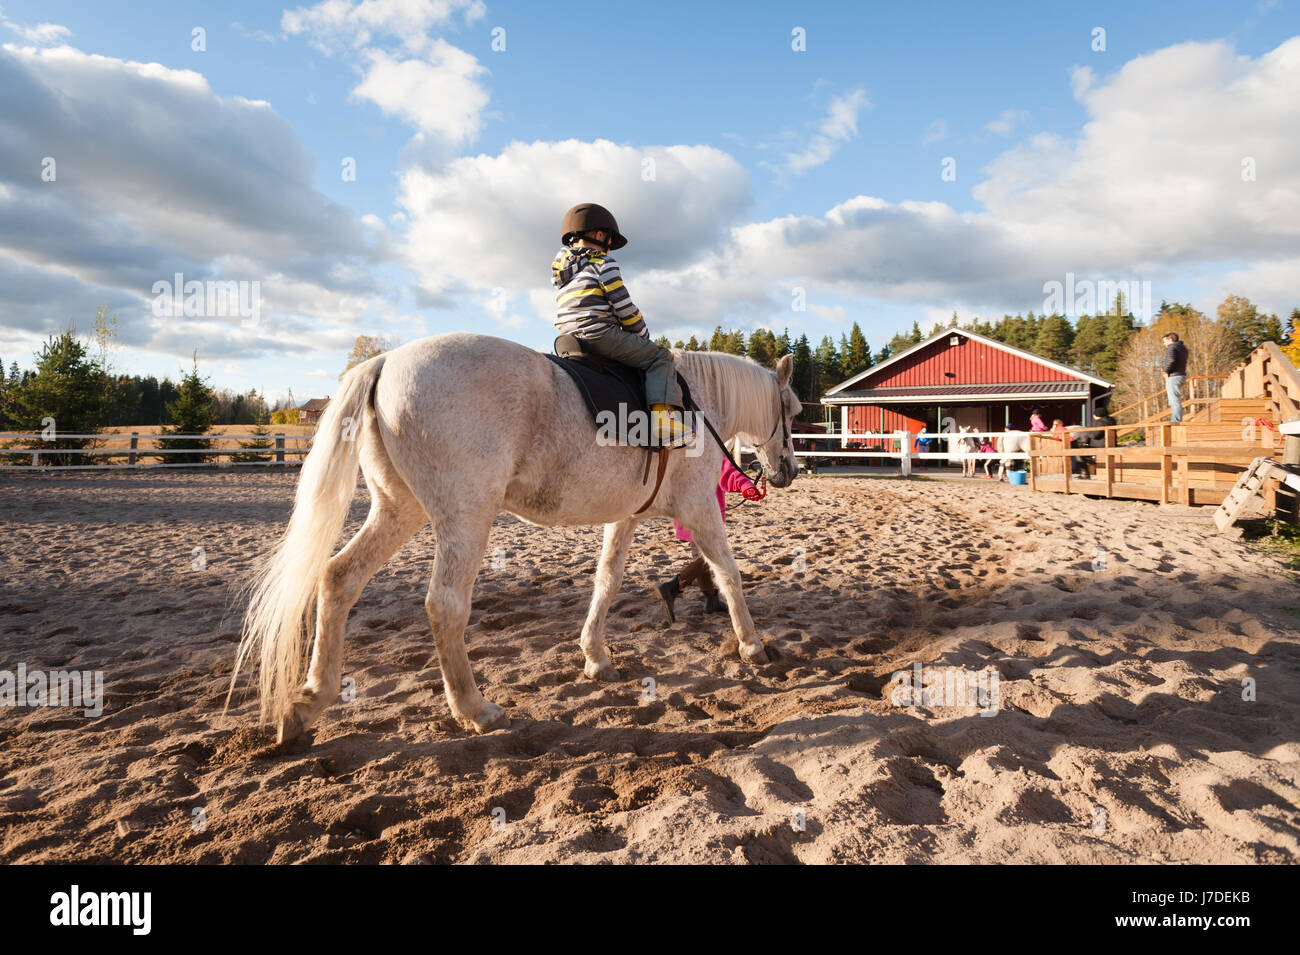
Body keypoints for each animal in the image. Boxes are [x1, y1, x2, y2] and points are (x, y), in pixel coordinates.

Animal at [228, 333, 802, 744]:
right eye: (794, 412)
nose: (789, 472)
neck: (697, 401)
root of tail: (386, 362)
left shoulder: (625, 518)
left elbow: (607, 581)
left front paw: (596, 657)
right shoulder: (700, 509)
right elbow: (728, 572)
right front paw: (752, 645)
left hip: (397, 510)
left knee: (338, 578)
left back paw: (309, 702)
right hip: (465, 519)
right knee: (444, 605)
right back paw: (474, 709)